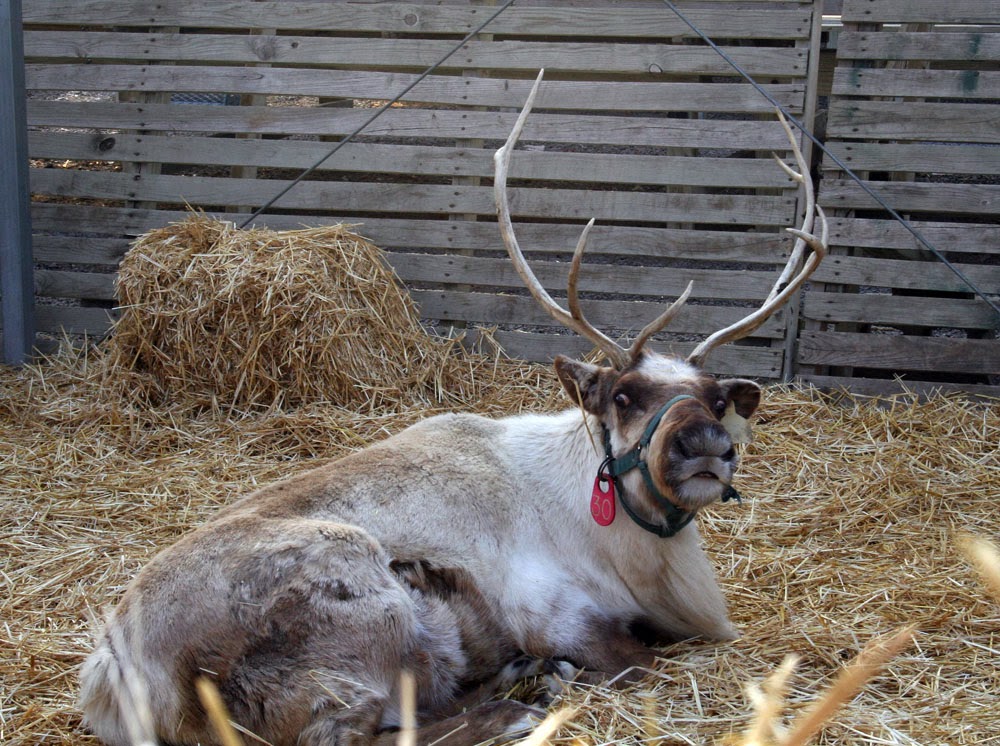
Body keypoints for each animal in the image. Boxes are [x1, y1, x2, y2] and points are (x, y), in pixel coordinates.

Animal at [78, 70, 827, 746]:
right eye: (622, 396)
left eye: (718, 398)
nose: (705, 446)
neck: (631, 552)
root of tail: (113, 679)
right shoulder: (554, 608)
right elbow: (639, 664)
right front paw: (552, 675)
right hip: (358, 608)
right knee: (361, 733)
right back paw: (518, 703)